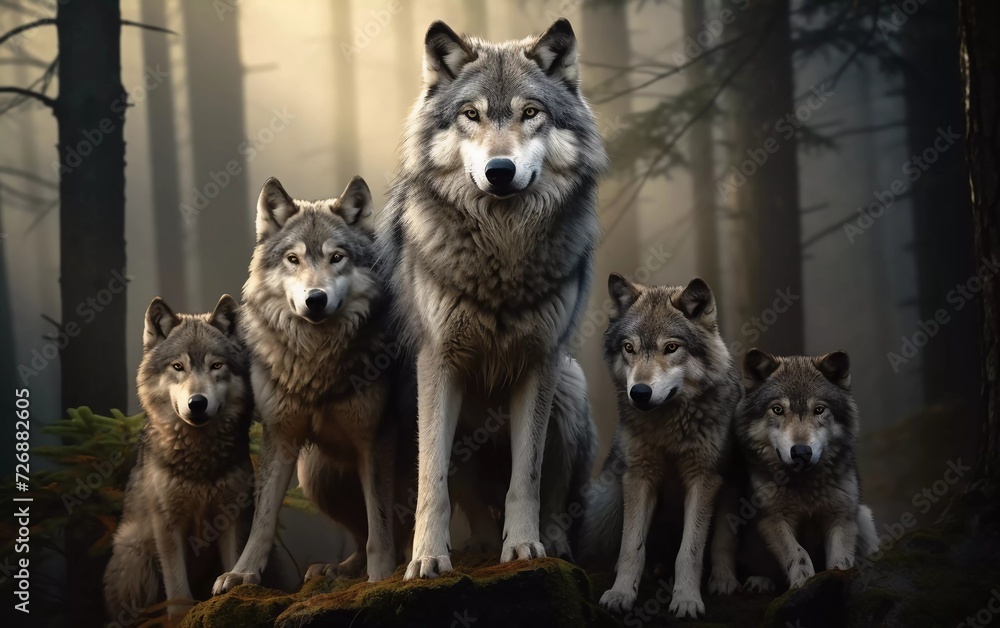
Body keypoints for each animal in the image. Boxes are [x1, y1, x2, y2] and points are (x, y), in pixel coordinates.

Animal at [104, 295, 254, 621]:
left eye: (216, 365)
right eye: (178, 366)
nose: (197, 403)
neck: (200, 459)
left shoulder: (232, 518)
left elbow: (234, 562)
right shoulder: (168, 523)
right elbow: (177, 587)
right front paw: (180, 617)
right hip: (137, 557)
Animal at [213, 176, 415, 595]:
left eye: (337, 257)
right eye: (294, 259)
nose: (315, 299)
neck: (316, 359)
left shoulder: (375, 438)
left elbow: (380, 521)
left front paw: (381, 576)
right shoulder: (280, 435)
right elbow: (262, 520)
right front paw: (242, 573)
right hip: (316, 475)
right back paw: (339, 569)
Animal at [376, 18, 606, 579]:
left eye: (530, 113)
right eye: (471, 115)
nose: (500, 170)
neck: (501, 252)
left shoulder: (540, 362)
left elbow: (527, 477)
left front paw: (522, 548)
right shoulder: (437, 365)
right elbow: (432, 482)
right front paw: (428, 558)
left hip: (569, 386)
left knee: (556, 501)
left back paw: (553, 544)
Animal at [578, 274, 742, 618]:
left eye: (671, 348)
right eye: (629, 348)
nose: (639, 392)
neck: (669, 426)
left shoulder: (704, 478)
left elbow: (690, 551)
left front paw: (687, 600)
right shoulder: (639, 476)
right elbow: (631, 547)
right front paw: (621, 594)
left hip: (732, 486)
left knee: (722, 542)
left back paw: (723, 581)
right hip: (607, 500)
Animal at [713, 349, 877, 592]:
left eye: (819, 410)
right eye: (777, 410)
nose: (801, 451)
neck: (804, 486)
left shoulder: (841, 516)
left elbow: (840, 560)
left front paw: (836, 579)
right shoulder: (773, 520)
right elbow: (798, 554)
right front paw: (803, 583)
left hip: (864, 517)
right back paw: (761, 581)